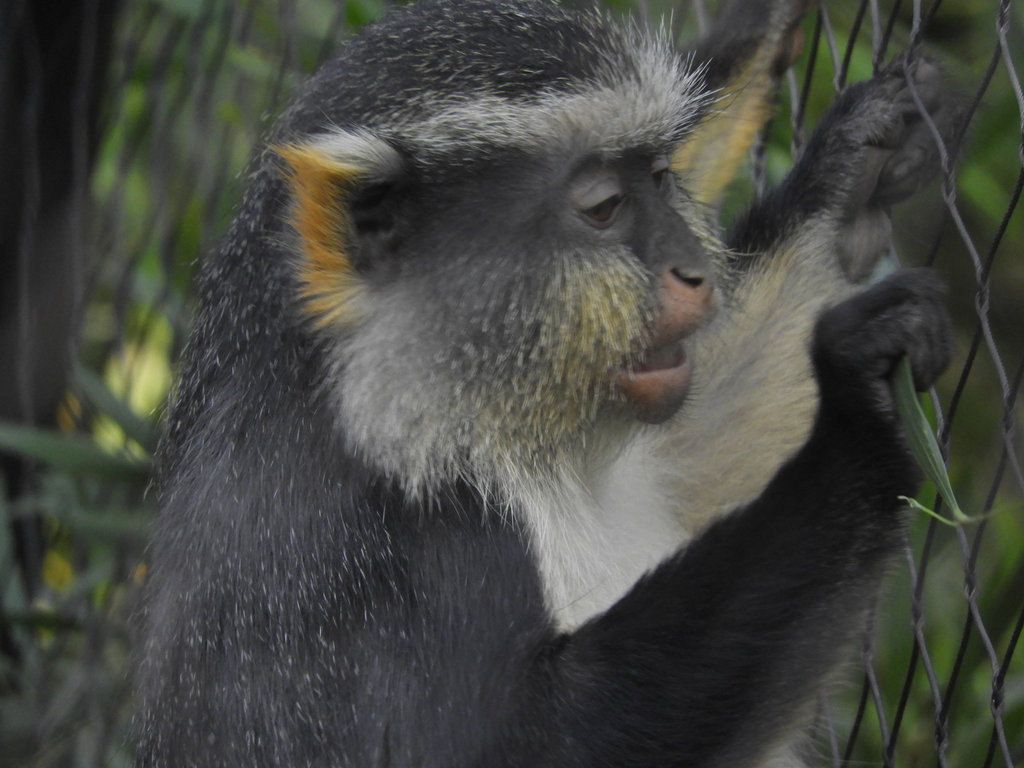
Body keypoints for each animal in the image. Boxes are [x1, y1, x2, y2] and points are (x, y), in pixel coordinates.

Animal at [133, 1, 962, 766]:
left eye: (661, 179)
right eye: (604, 207)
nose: (694, 269)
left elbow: (699, 455)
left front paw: (855, 165)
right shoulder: (360, 556)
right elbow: (537, 741)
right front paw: (858, 413)